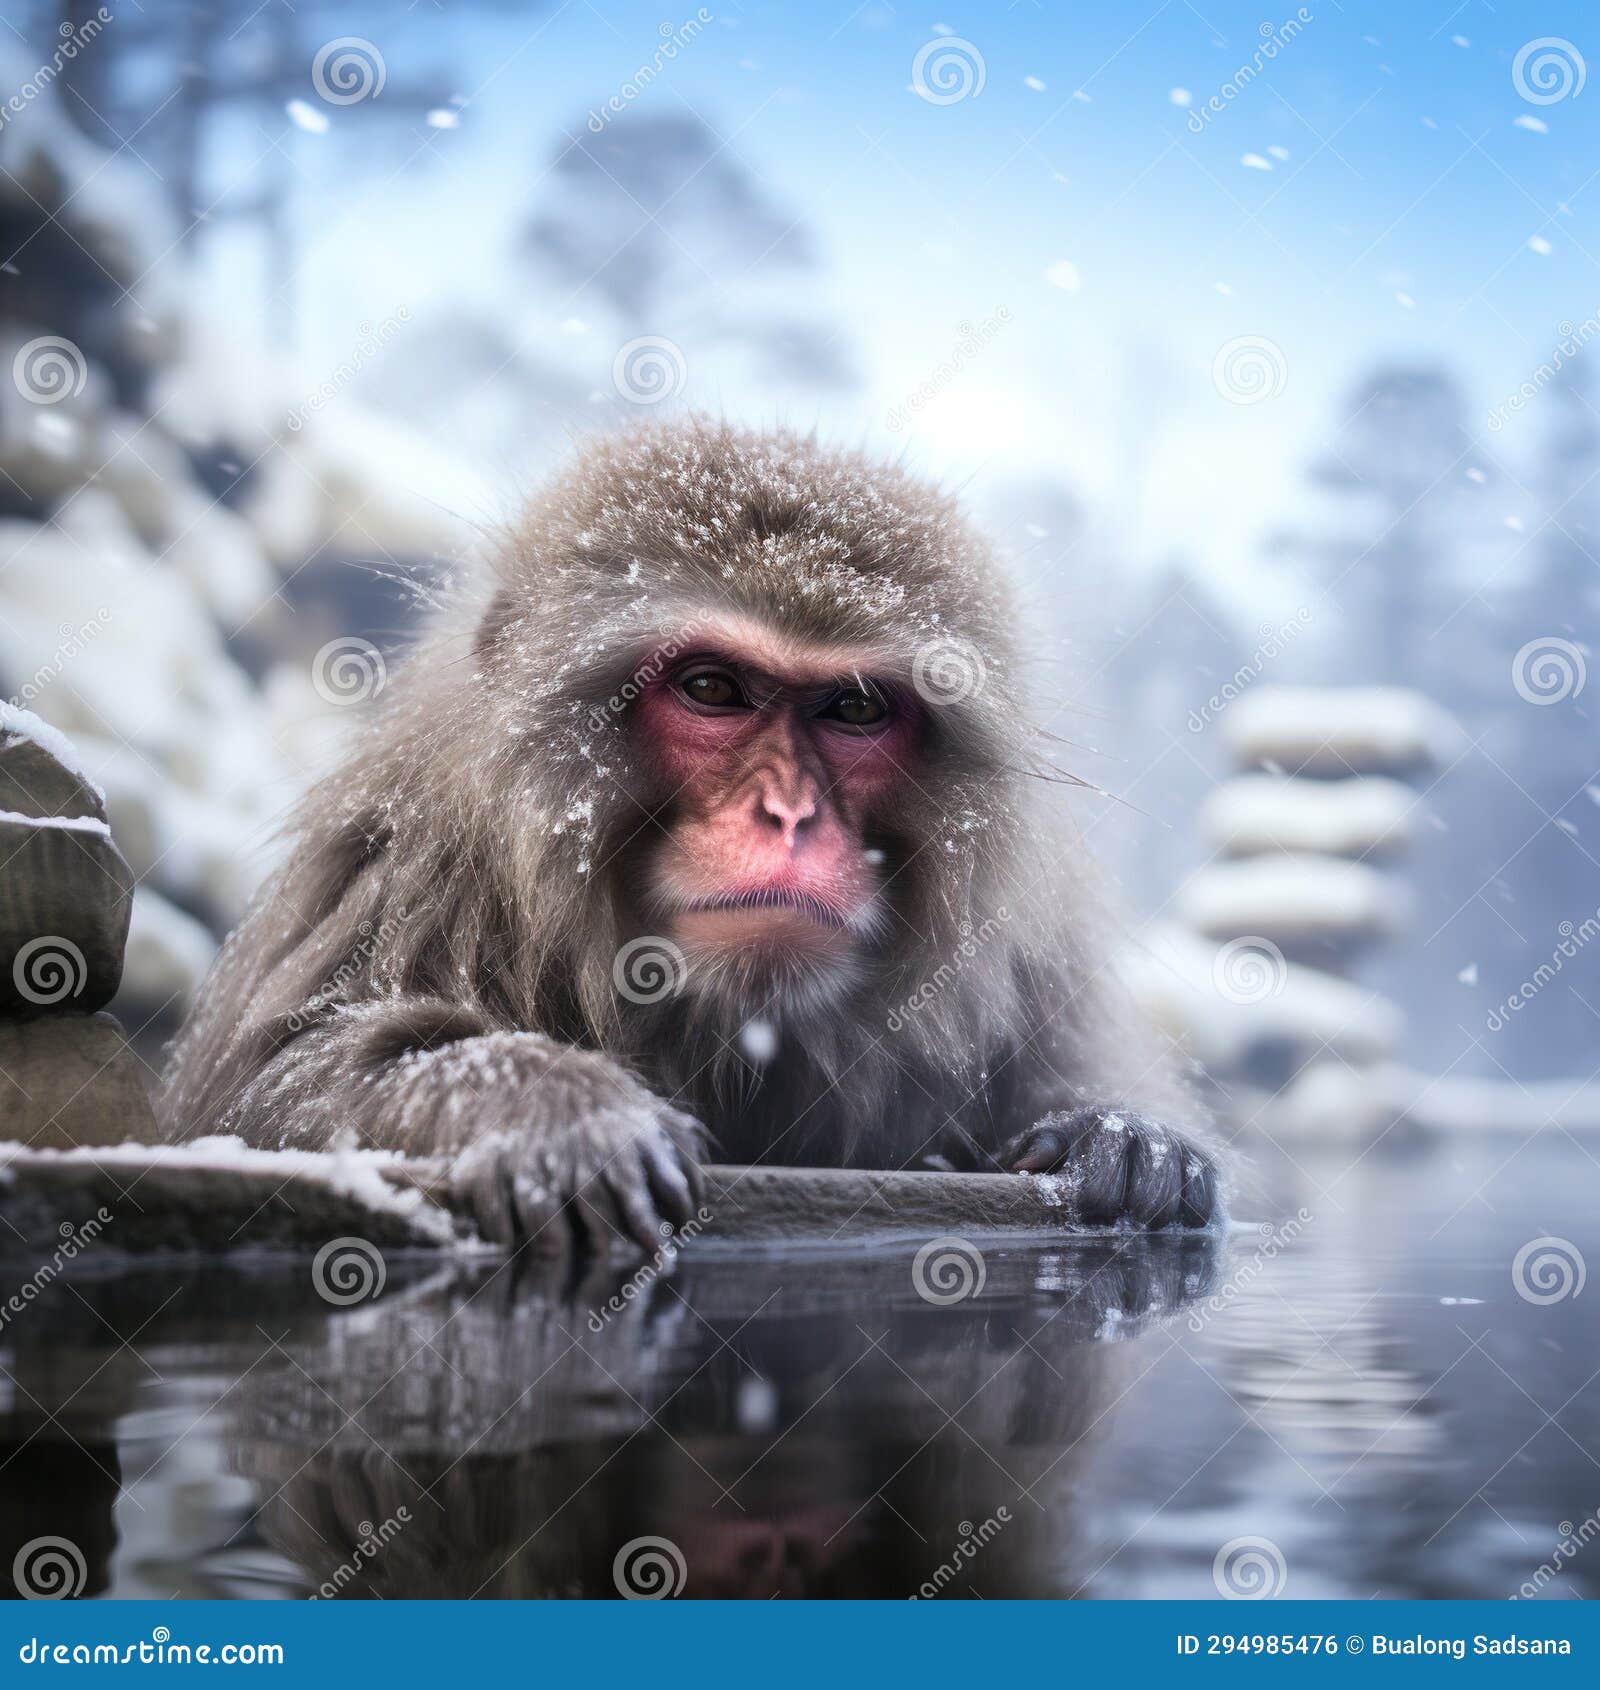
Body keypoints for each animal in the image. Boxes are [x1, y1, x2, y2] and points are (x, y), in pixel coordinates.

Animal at [163, 418, 1221, 1251]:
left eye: (855, 708)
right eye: (714, 689)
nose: (787, 813)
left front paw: (1122, 1137)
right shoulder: (402, 849)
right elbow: (266, 1089)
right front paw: (551, 1108)